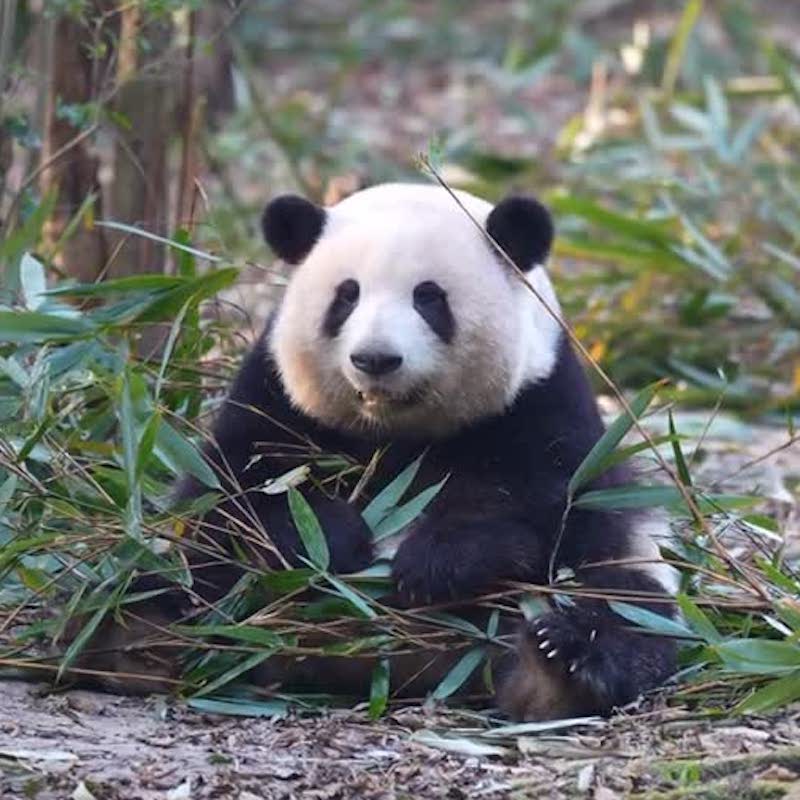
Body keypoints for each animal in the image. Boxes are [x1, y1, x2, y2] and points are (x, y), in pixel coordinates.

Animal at [82, 183, 678, 720]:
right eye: (347, 295)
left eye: (429, 297)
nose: (375, 359)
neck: (393, 429)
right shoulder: (275, 394)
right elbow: (235, 494)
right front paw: (329, 541)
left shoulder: (542, 401)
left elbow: (545, 504)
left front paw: (434, 563)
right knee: (166, 581)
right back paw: (137, 638)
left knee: (624, 609)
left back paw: (558, 668)